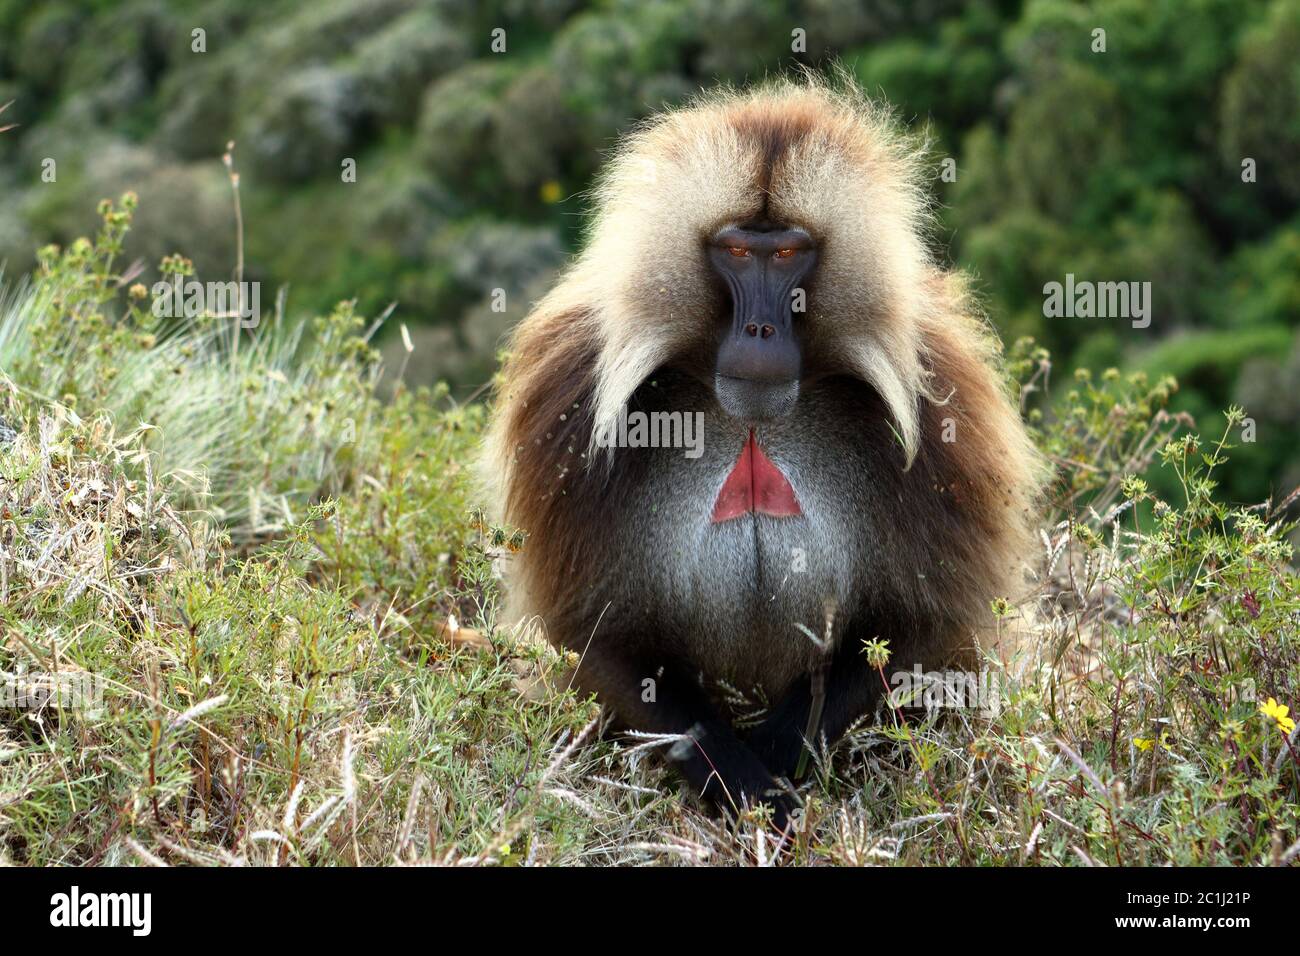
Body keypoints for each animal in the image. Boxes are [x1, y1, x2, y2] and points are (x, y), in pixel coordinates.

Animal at [484, 76, 1046, 829]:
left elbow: (930, 630)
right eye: (735, 251)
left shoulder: (945, 401)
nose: (759, 331)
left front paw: (773, 768)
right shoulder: (567, 399)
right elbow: (595, 639)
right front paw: (745, 783)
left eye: (786, 254)